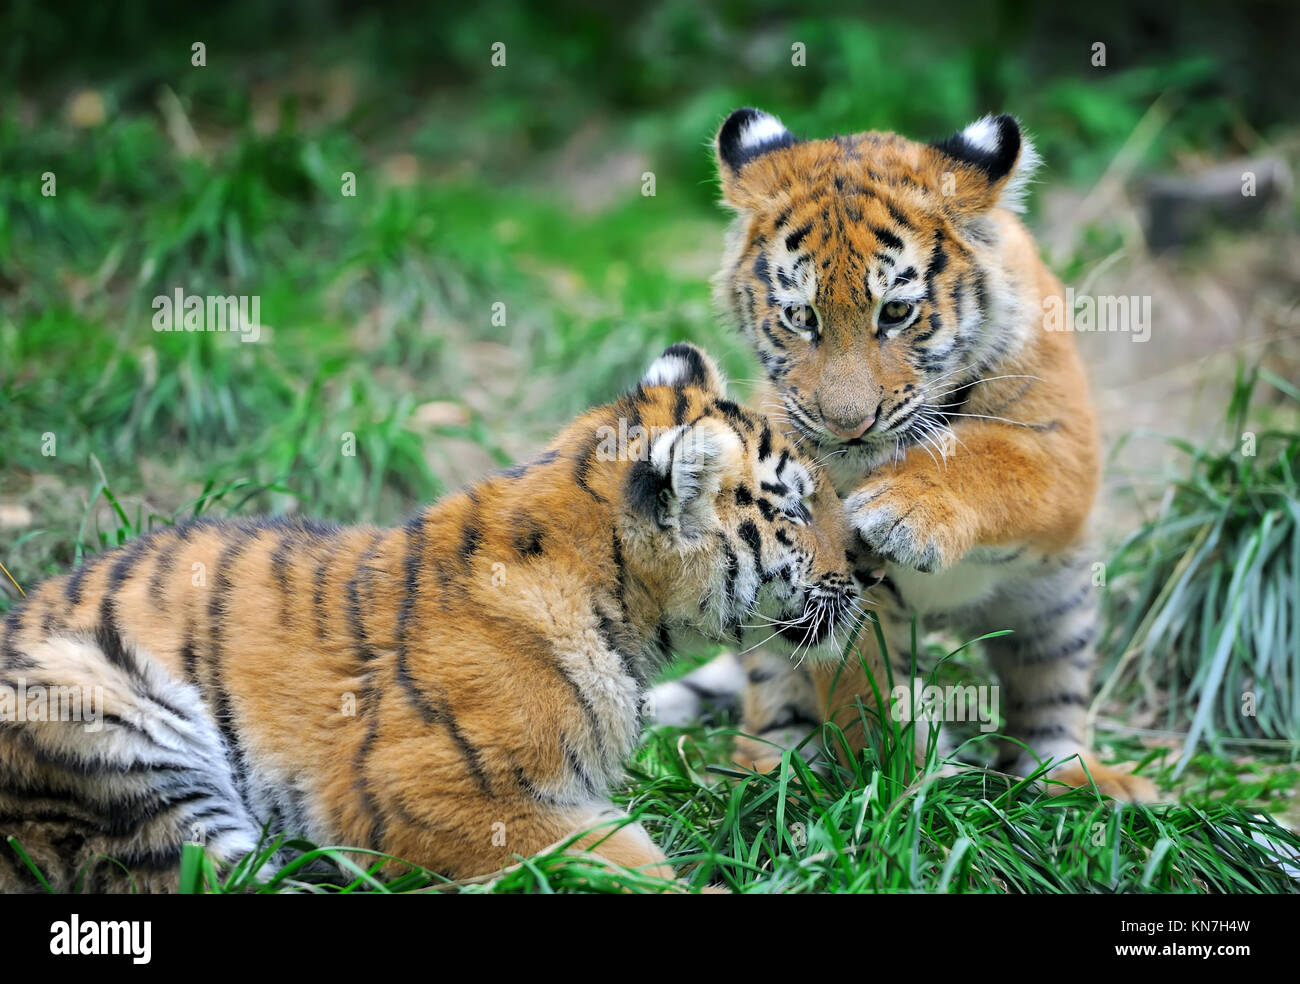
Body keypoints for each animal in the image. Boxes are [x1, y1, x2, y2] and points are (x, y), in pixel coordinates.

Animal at [0, 343, 868, 893]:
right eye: (795, 510)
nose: (866, 567)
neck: (623, 612)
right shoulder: (422, 795)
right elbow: (623, 857)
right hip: (114, 727)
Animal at [651, 109, 1155, 802]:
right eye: (799, 316)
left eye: (895, 311)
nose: (847, 425)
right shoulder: (834, 583)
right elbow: (858, 685)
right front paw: (885, 780)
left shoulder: (1063, 443)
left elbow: (991, 461)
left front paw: (906, 509)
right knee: (774, 700)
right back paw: (778, 772)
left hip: (1060, 602)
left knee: (1049, 705)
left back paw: (1078, 780)